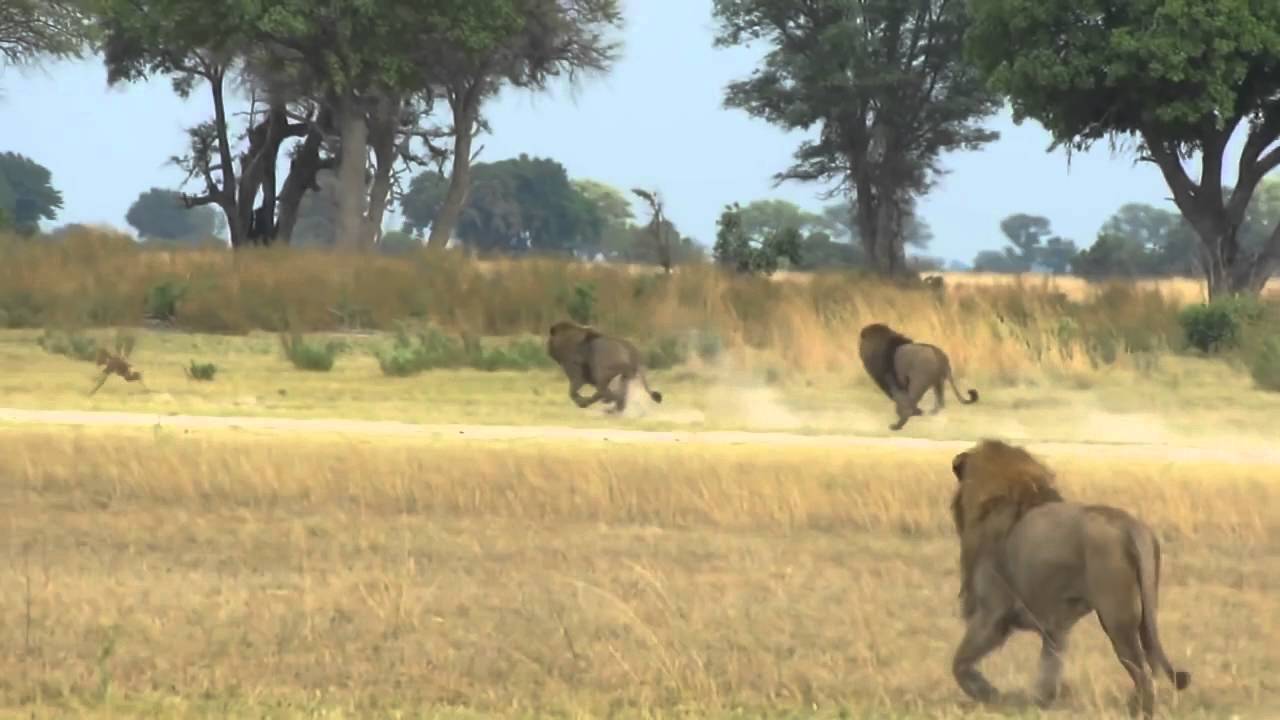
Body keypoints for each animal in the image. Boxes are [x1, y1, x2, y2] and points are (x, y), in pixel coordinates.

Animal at [948, 439, 1191, 719]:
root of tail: (1129, 526)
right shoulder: (1055, 627)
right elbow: (1049, 670)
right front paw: (1038, 703)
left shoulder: (992, 614)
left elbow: (960, 663)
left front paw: (990, 693)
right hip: (1146, 615)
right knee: (1151, 666)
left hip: (1117, 619)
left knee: (1143, 675)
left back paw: (1138, 711)